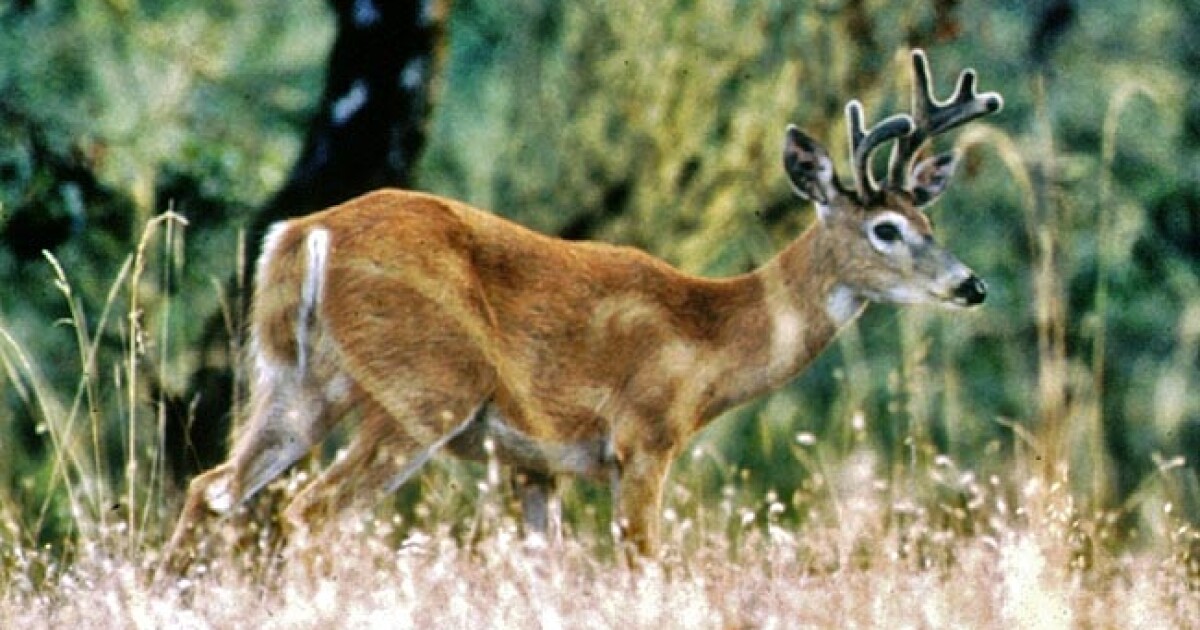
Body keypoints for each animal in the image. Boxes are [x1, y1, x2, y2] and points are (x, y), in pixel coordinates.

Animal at [161, 49, 1002, 574]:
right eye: (886, 229)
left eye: (929, 221)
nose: (971, 285)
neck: (710, 336)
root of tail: (301, 235)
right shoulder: (643, 439)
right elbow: (644, 565)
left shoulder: (537, 466)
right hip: (424, 389)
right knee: (309, 510)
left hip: (298, 381)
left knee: (213, 488)